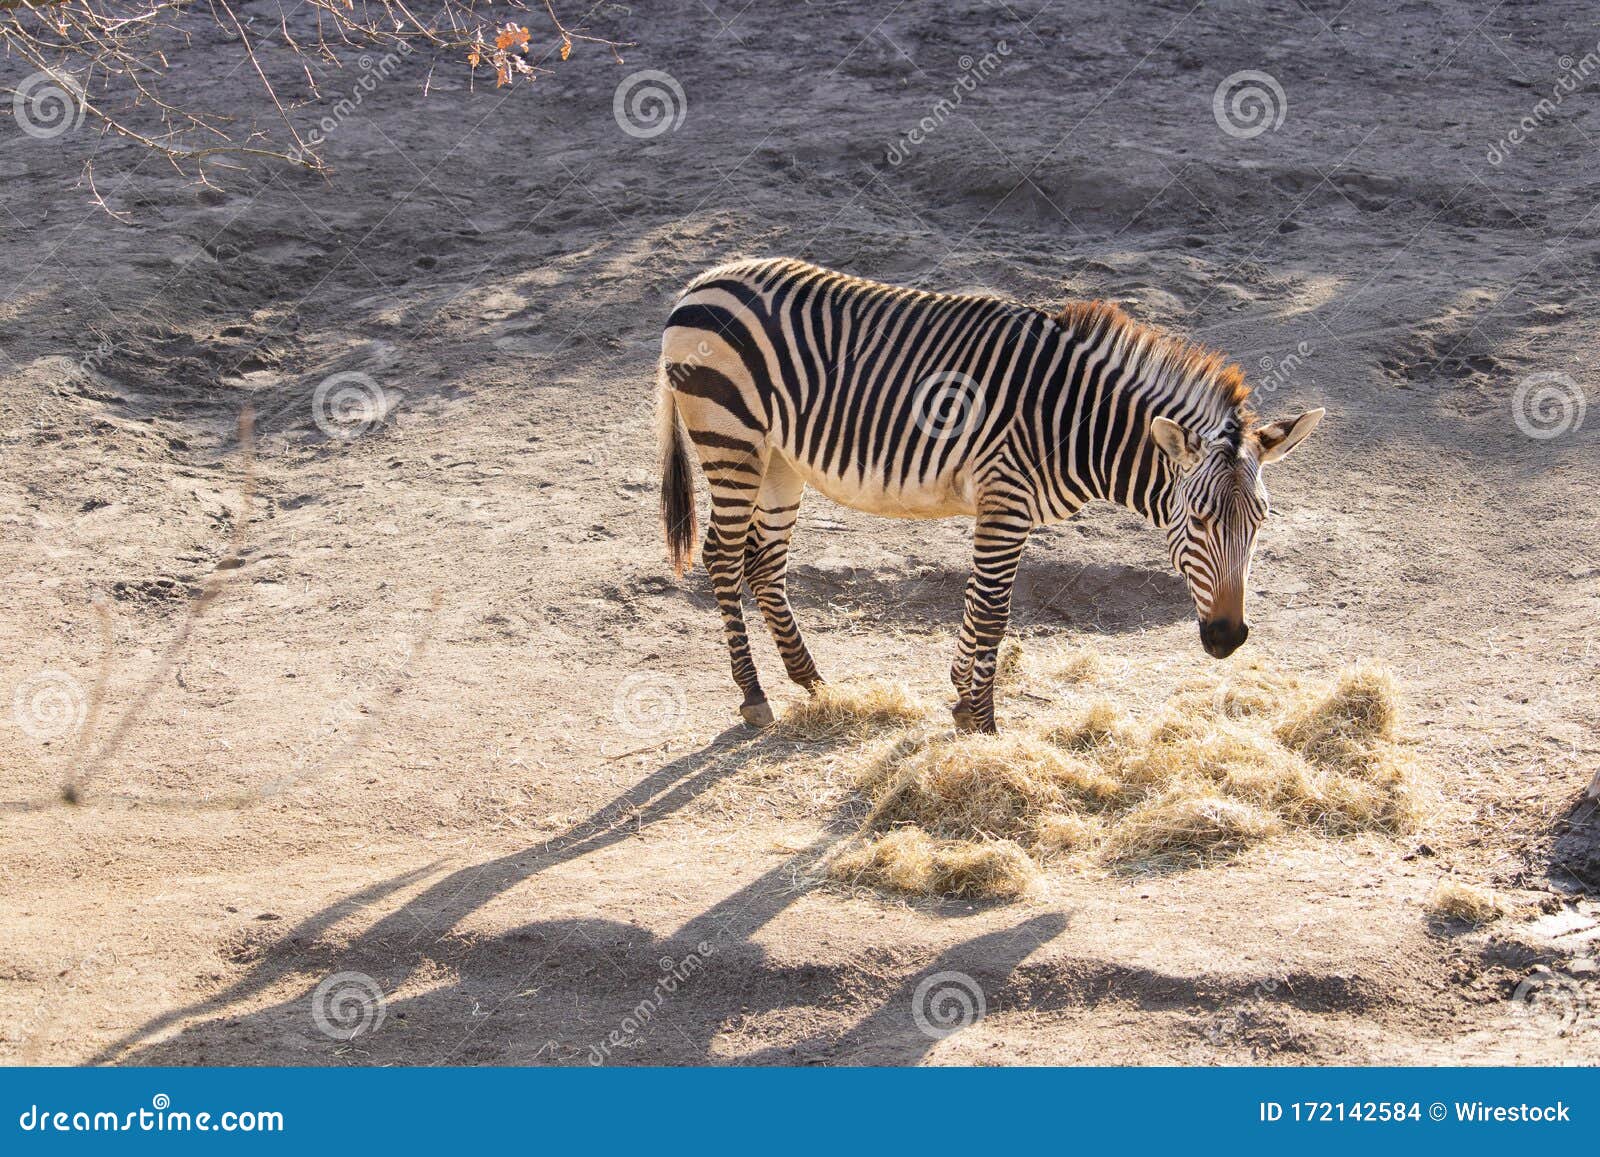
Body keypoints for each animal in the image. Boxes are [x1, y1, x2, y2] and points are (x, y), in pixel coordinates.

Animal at [657, 257, 1323, 733]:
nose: (1227, 639)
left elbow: (978, 601)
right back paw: (754, 695)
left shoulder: (1004, 509)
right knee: (722, 558)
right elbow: (994, 610)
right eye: (1200, 518)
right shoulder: (1005, 500)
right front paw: (981, 721)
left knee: (763, 563)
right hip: (732, 440)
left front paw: (959, 696)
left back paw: (811, 680)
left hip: (779, 460)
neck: (1077, 423)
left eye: (1260, 522)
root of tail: (701, 282)